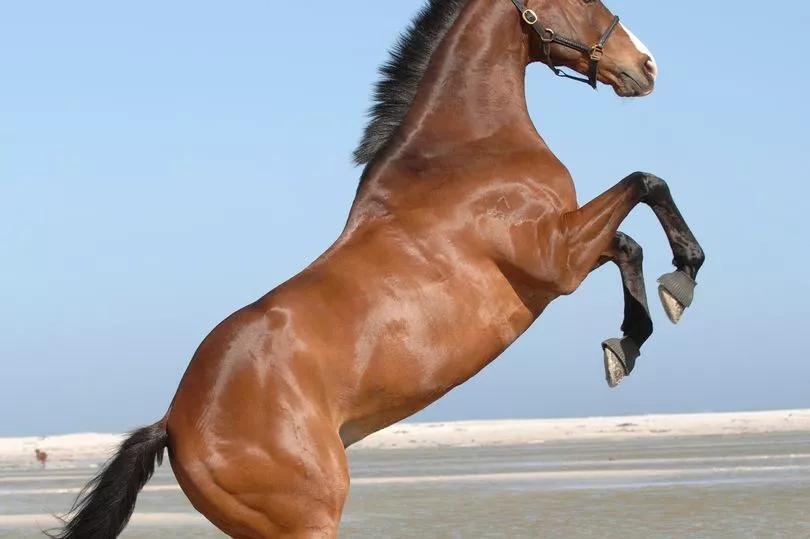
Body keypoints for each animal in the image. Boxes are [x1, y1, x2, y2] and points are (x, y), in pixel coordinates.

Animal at [53, 0, 704, 537]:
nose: (646, 66)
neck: (468, 151)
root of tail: (173, 421)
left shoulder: (567, 252)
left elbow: (628, 244)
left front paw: (628, 343)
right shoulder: (555, 259)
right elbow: (646, 183)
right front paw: (683, 278)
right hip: (308, 522)